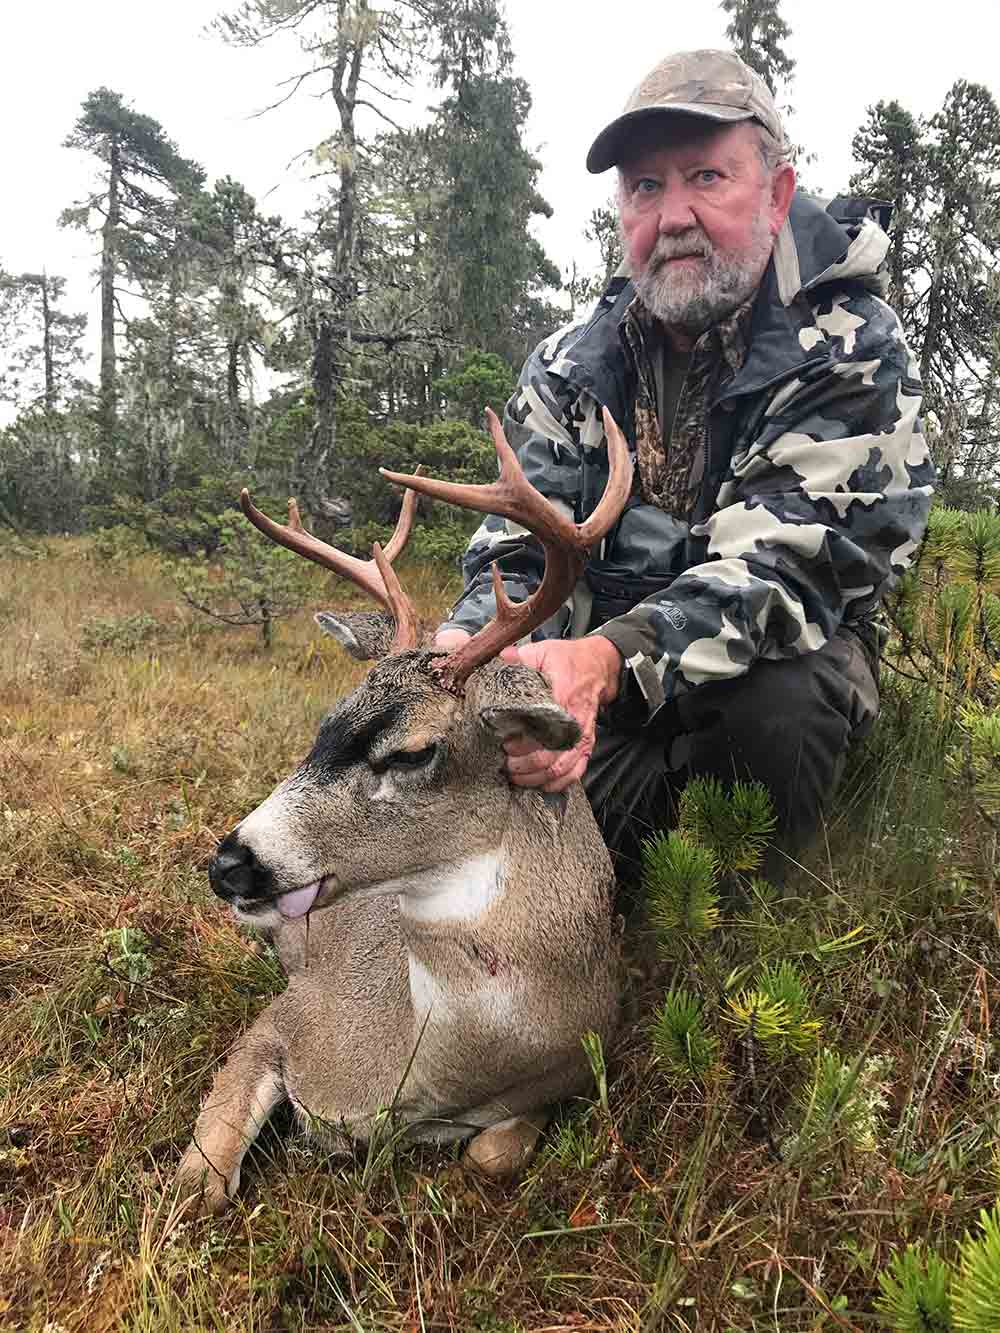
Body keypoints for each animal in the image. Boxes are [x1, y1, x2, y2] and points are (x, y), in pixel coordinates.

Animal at [174, 407, 633, 1215]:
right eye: (325, 722)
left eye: (414, 752)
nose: (228, 863)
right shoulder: (285, 1016)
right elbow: (203, 1182)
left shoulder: (568, 1074)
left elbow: (492, 1157)